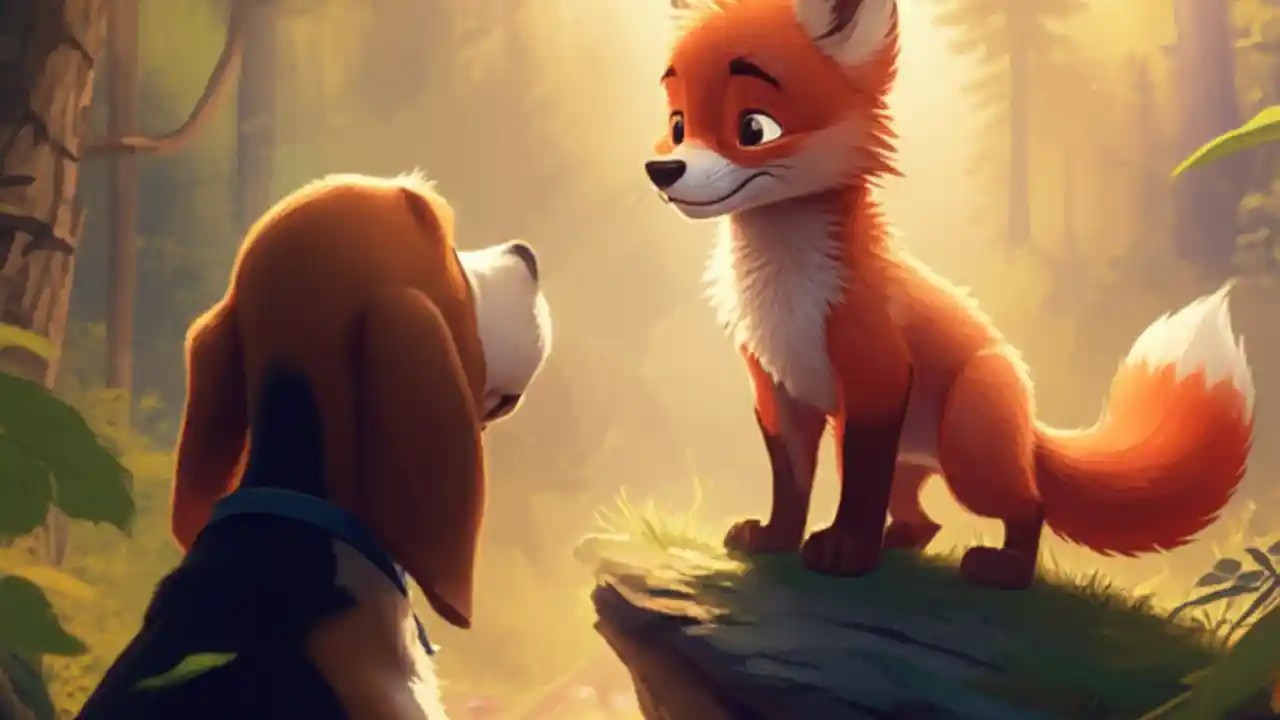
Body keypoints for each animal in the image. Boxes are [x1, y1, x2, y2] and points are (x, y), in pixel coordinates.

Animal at [644, 0, 1255, 589]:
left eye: (754, 128)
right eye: (677, 124)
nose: (661, 169)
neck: (785, 290)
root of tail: (1030, 420)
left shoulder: (877, 376)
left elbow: (860, 487)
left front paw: (846, 552)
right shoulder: (780, 390)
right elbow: (791, 480)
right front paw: (776, 538)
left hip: (969, 452)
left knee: (1029, 506)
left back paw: (1003, 570)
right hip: (909, 458)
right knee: (924, 518)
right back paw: (903, 541)